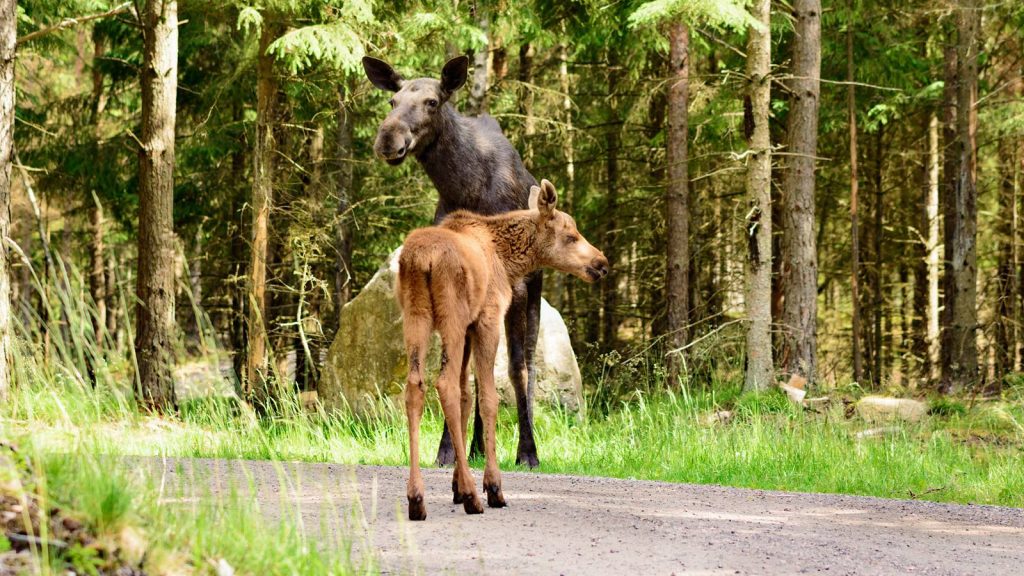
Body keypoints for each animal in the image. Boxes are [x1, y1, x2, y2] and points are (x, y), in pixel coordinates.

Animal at [363, 54, 546, 468]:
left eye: (432, 102)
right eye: (392, 100)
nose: (387, 140)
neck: (466, 188)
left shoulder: (517, 287)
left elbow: (516, 369)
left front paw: (527, 452)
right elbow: (454, 366)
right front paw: (448, 449)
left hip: (534, 292)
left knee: (523, 364)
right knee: (479, 368)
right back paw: (477, 445)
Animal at [397, 179, 608, 520]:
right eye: (571, 236)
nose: (602, 264)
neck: (508, 260)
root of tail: (422, 261)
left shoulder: (470, 326)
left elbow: (467, 397)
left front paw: (456, 486)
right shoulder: (487, 318)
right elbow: (488, 399)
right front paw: (491, 486)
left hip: (416, 317)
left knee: (416, 385)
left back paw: (417, 497)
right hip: (451, 316)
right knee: (443, 384)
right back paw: (473, 496)